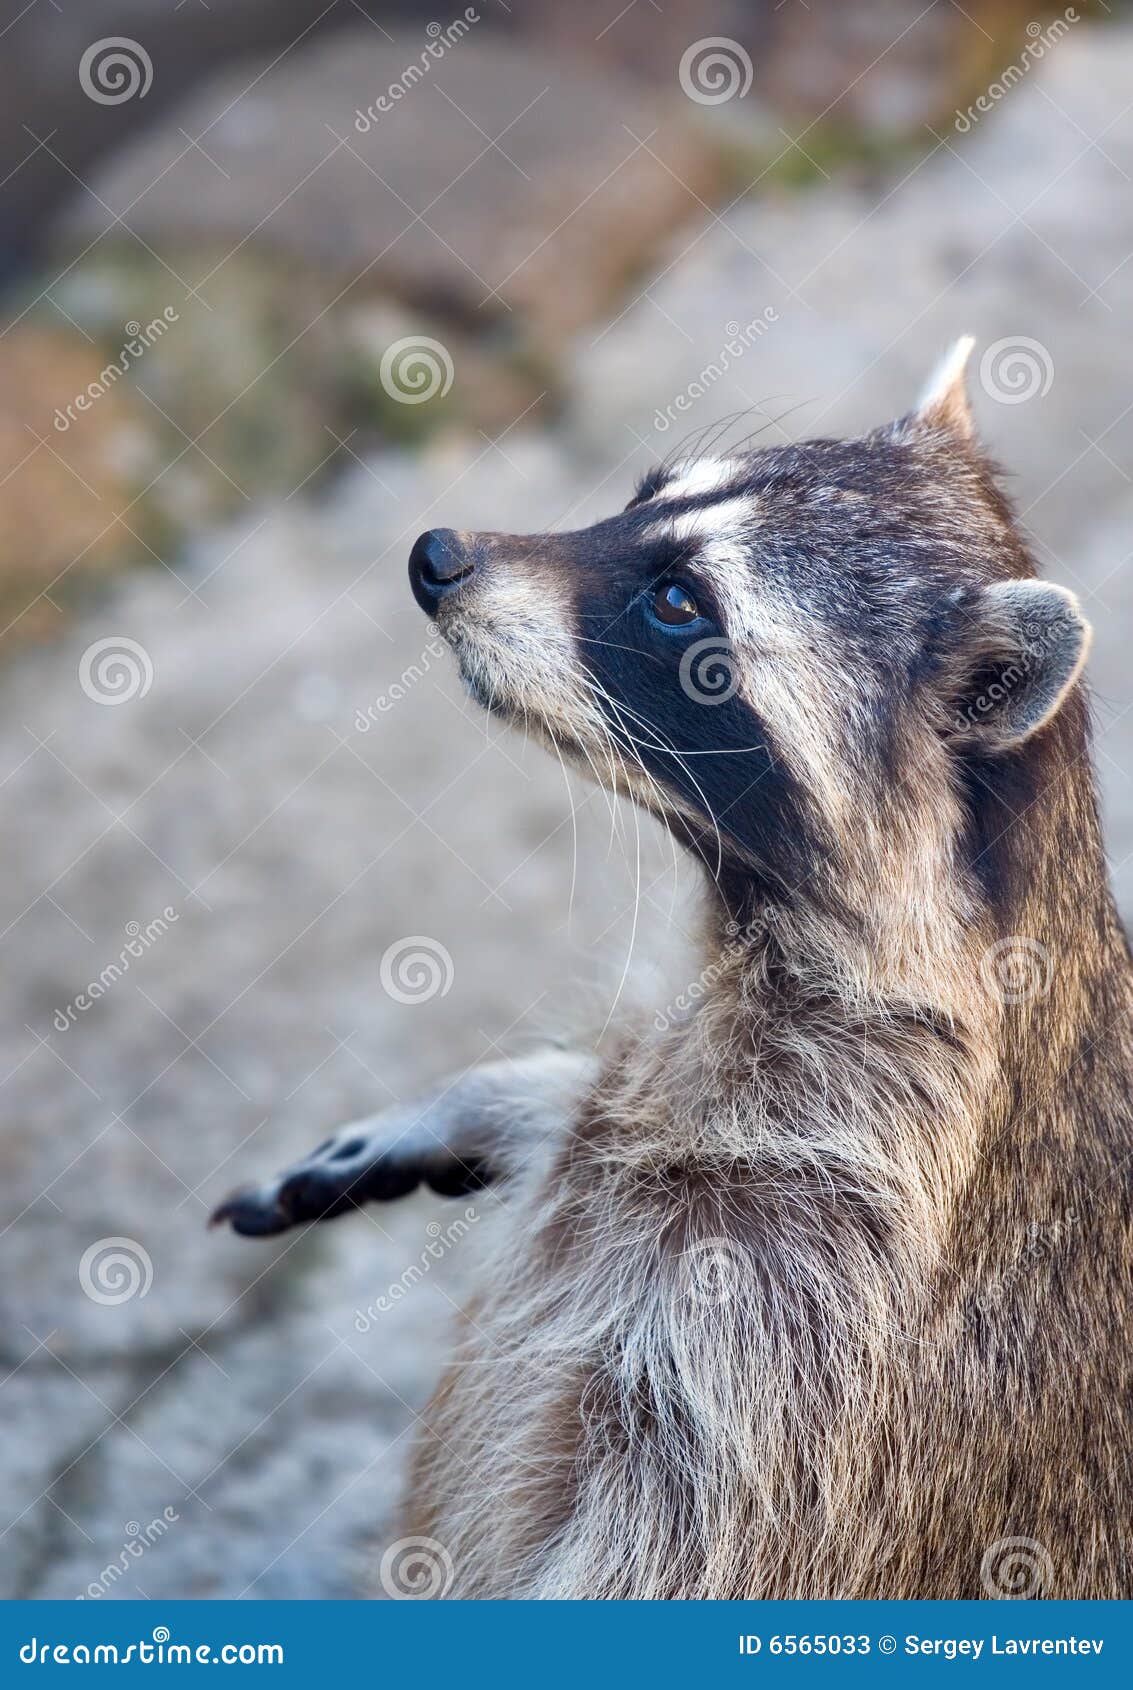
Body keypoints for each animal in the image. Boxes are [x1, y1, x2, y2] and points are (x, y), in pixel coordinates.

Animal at [215, 340, 1133, 1598]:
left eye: (676, 601)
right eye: (645, 496)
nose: (437, 556)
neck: (748, 928)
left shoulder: (809, 1326)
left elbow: (662, 1545)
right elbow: (583, 1092)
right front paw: (488, 1097)